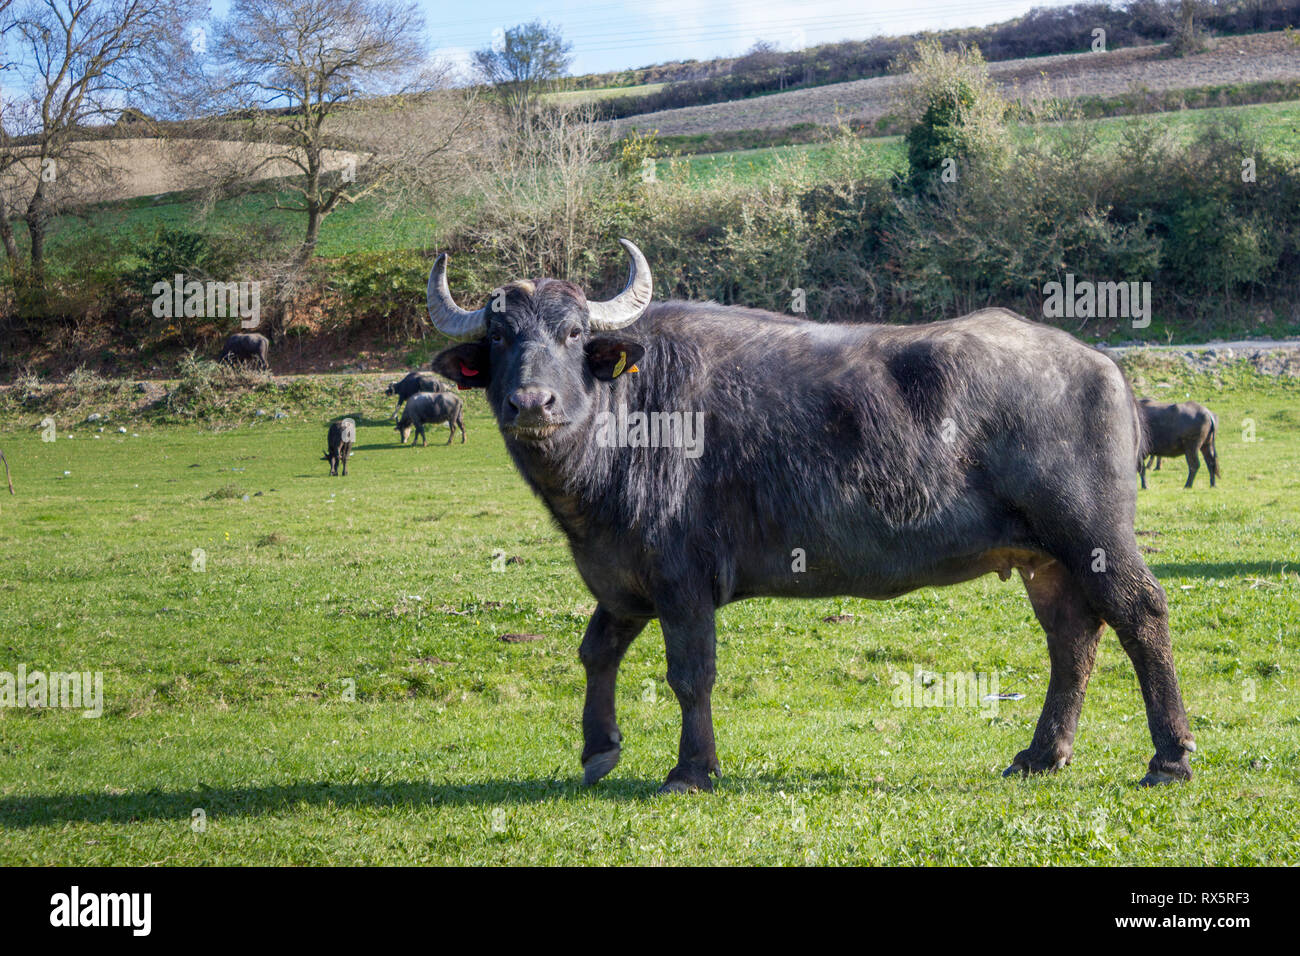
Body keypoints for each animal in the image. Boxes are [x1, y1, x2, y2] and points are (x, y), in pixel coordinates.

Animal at [428, 240, 1195, 793]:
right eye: (499, 337)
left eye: (573, 332)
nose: (532, 403)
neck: (625, 422)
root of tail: (1100, 365)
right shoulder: (622, 578)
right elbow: (596, 651)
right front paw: (597, 748)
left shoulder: (682, 581)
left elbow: (690, 674)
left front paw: (691, 770)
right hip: (1044, 558)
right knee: (1073, 638)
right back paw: (1042, 754)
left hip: (1092, 535)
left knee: (1140, 613)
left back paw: (1169, 757)